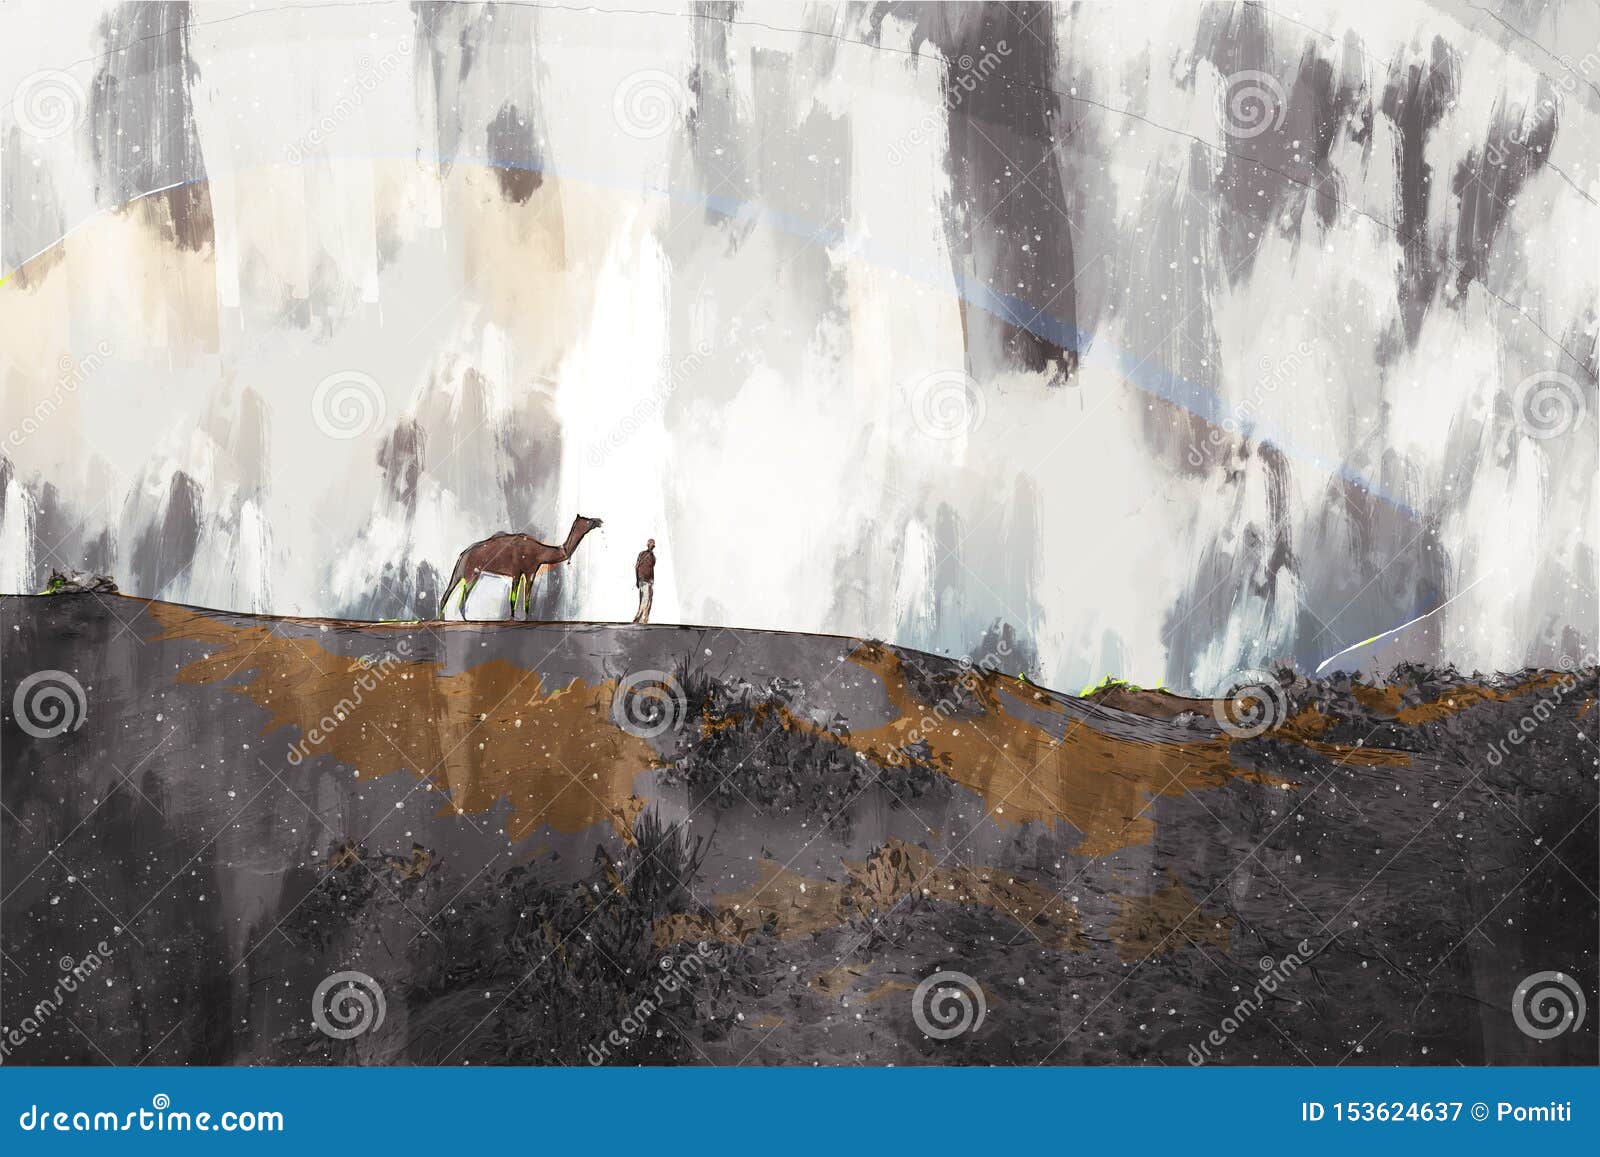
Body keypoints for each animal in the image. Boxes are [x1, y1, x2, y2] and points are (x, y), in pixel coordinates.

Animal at [439, 515, 603, 621]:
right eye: (588, 520)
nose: (599, 521)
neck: (540, 552)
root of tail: (463, 554)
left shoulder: (530, 572)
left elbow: (526, 598)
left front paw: (526, 617)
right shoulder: (518, 571)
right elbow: (514, 597)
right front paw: (513, 618)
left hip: (462, 572)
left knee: (448, 594)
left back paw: (444, 618)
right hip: (470, 573)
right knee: (460, 595)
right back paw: (461, 619)